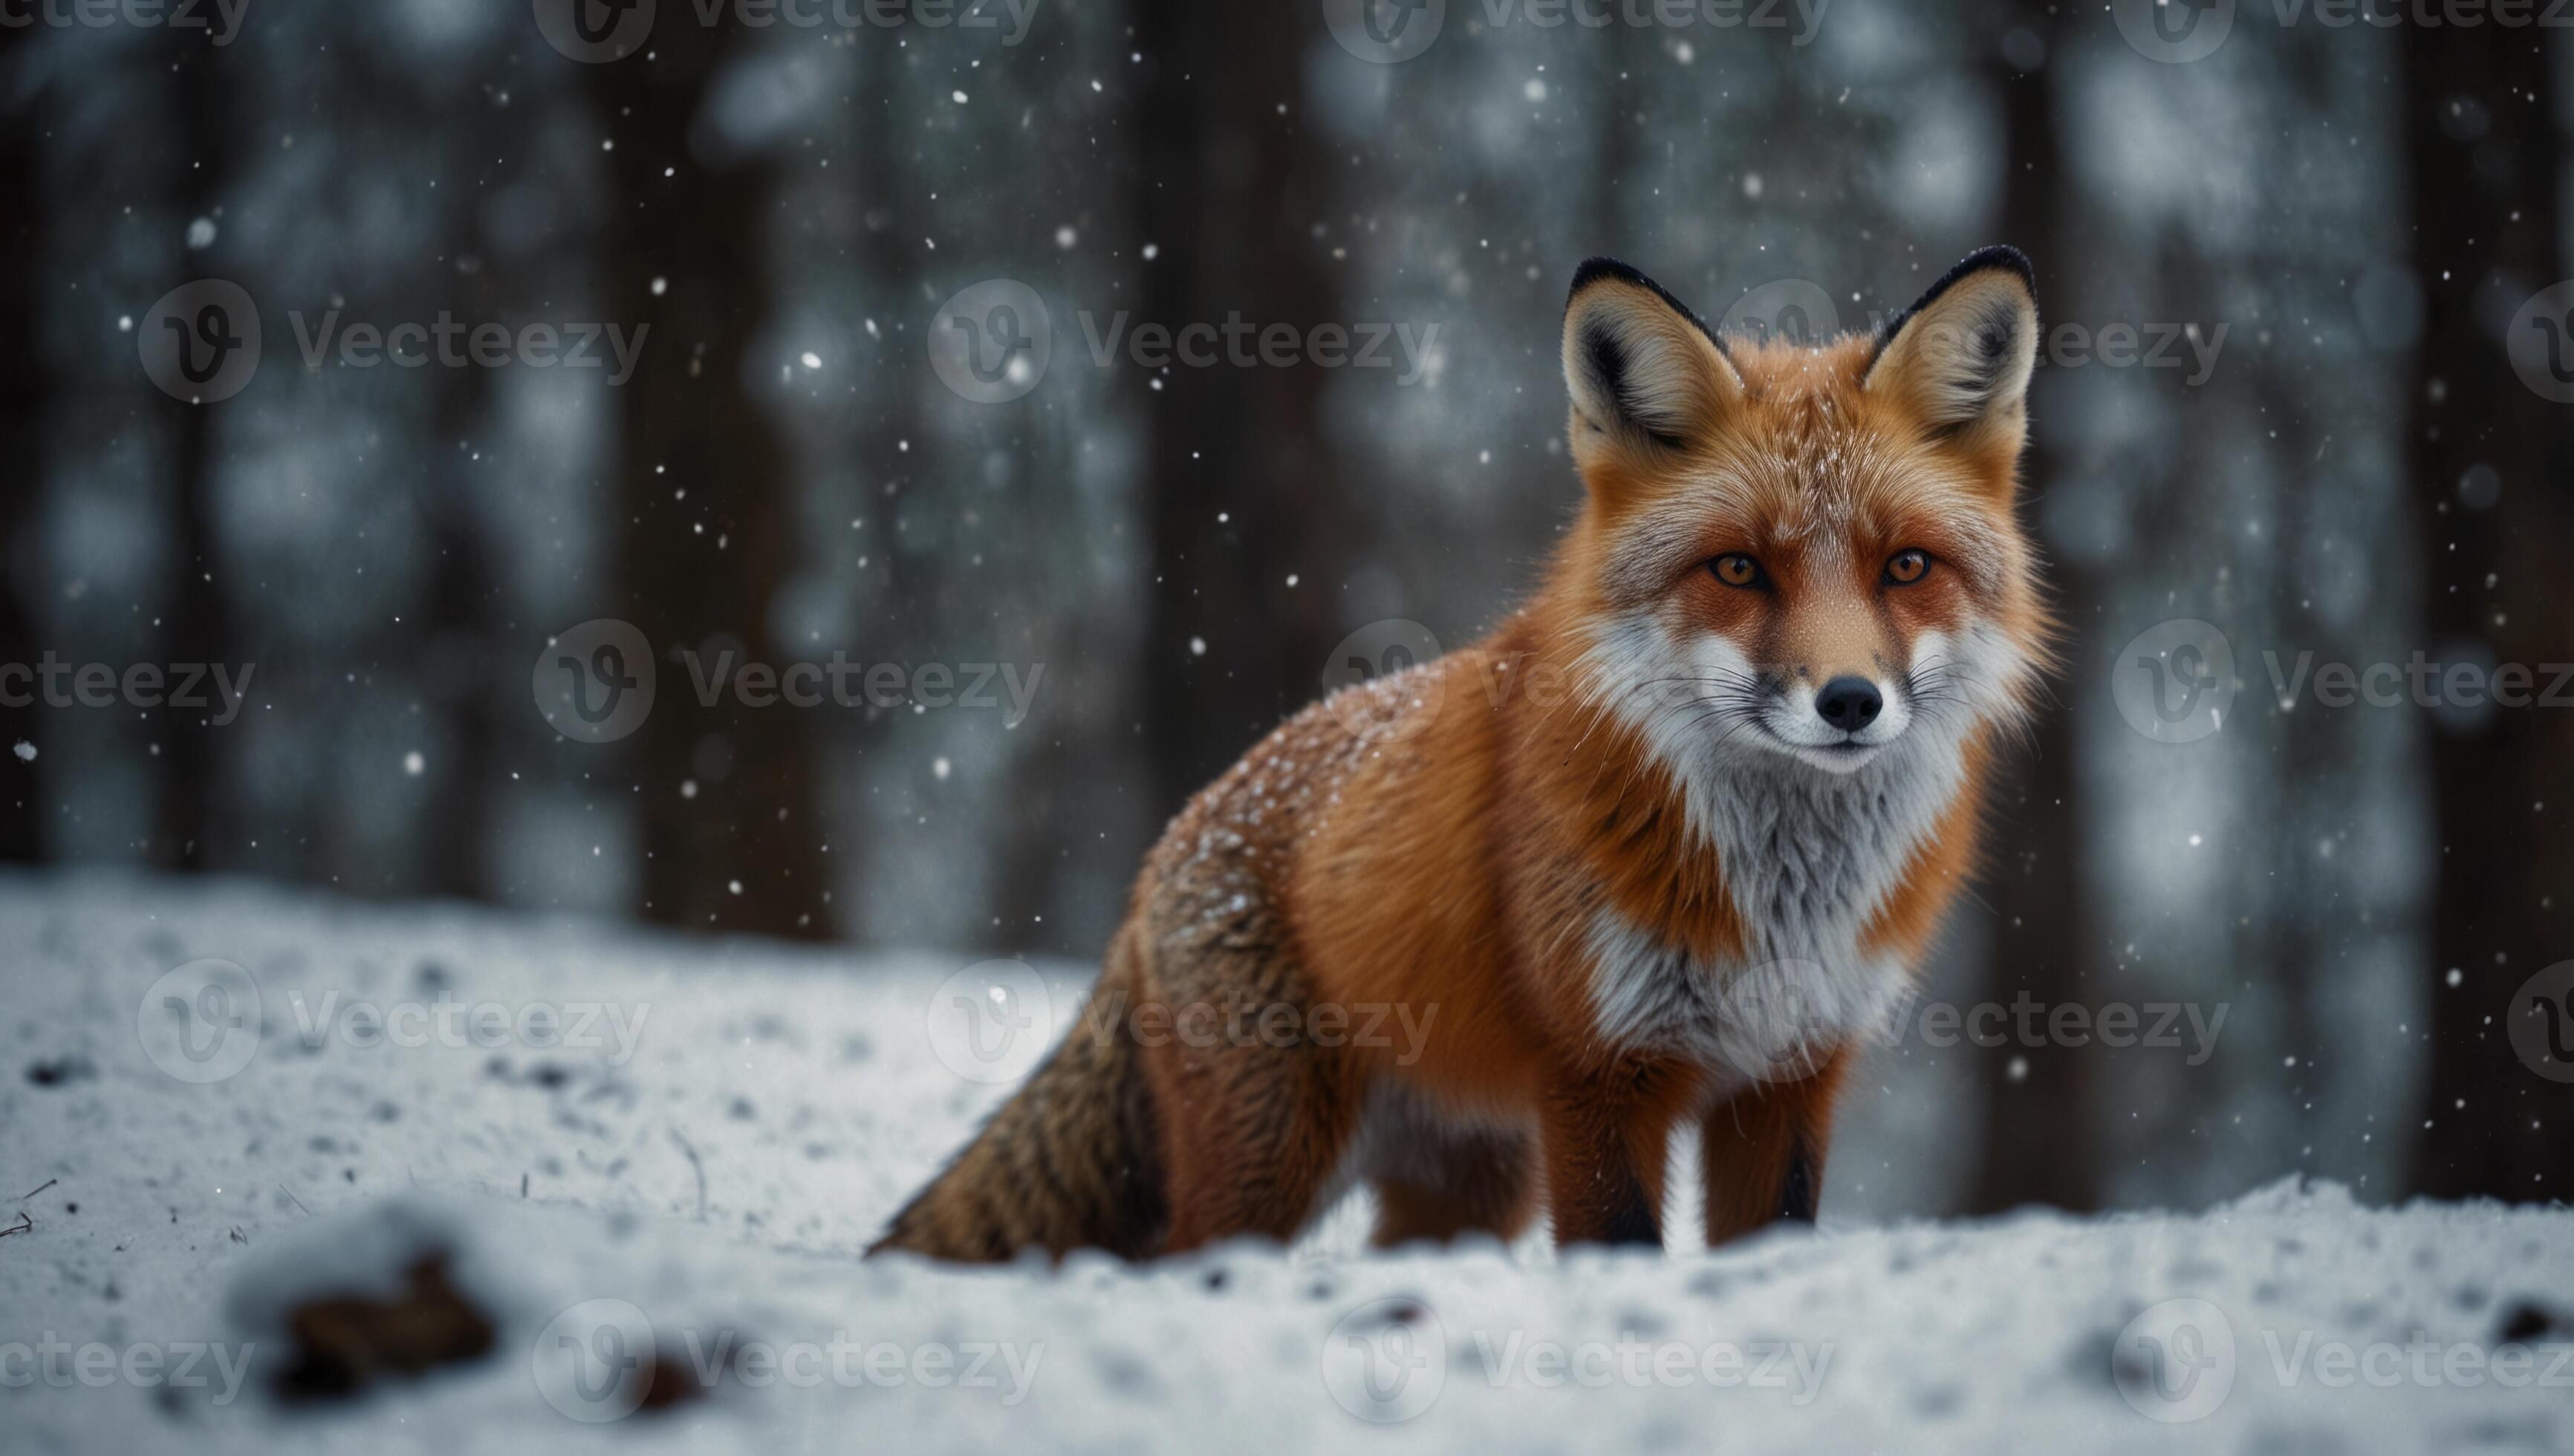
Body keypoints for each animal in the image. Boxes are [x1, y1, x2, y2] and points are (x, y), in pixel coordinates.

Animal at [872, 247, 2052, 1261]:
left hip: (1469, 1183)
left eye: (1906, 567)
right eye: (1738, 569)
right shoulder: (1598, 1073)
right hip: (1269, 1166)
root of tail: (1177, 834)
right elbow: (1619, 1248)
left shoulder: (1790, 1075)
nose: (1851, 702)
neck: (1779, 901)